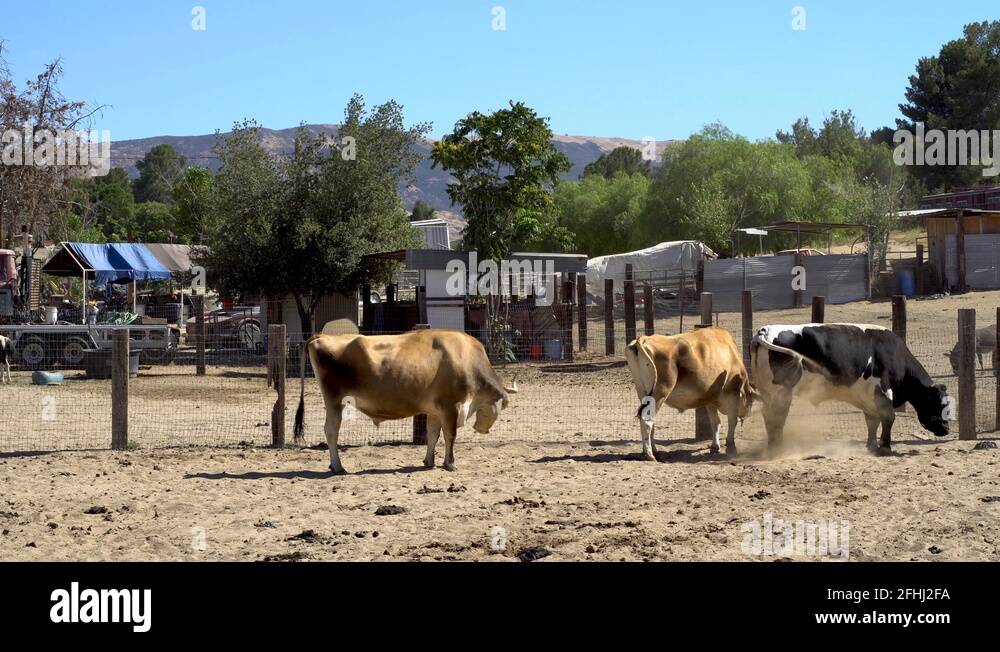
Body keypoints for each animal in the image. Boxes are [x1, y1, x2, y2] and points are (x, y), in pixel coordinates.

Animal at [293, 329, 517, 474]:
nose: (483, 430)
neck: (466, 358)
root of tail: (322, 336)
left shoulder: (435, 411)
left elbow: (432, 435)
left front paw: (429, 461)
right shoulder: (451, 407)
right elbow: (450, 436)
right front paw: (450, 463)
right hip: (335, 401)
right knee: (331, 430)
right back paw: (338, 466)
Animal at [624, 327, 755, 461]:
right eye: (751, 401)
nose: (747, 413)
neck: (731, 353)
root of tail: (643, 338)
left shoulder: (710, 397)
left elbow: (715, 422)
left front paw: (715, 446)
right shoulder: (733, 392)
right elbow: (732, 421)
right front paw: (731, 447)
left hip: (643, 392)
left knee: (649, 421)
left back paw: (653, 451)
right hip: (660, 392)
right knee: (647, 421)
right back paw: (649, 454)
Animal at [750, 323, 950, 454]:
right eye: (941, 404)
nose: (946, 429)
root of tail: (763, 331)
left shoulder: (869, 397)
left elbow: (872, 421)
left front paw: (872, 445)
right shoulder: (882, 390)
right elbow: (888, 417)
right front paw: (885, 447)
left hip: (769, 393)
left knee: (769, 415)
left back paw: (773, 446)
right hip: (781, 392)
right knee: (776, 417)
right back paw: (779, 447)